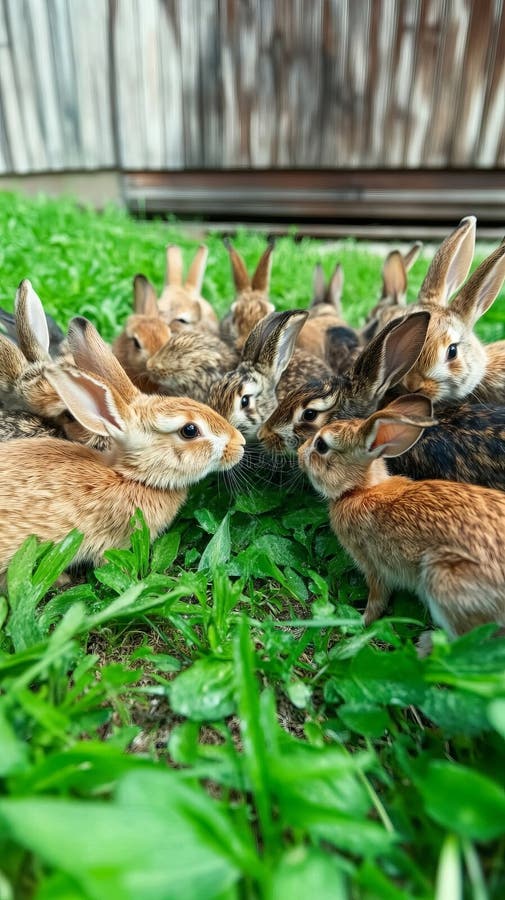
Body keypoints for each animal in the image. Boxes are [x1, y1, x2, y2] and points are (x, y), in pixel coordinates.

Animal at [298, 393, 505, 638]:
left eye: (321, 446)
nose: (299, 454)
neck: (360, 490)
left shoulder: (372, 564)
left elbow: (377, 600)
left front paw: (360, 623)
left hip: (444, 583)